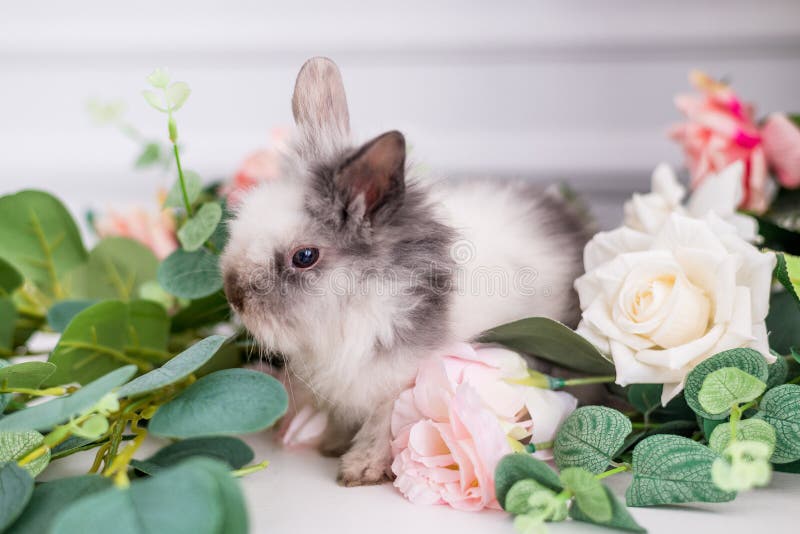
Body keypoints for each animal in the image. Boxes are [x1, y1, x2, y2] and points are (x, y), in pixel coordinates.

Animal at [221, 57, 589, 486]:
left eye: (305, 256)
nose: (234, 295)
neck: (363, 296)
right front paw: (332, 445)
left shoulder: (398, 385)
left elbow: (383, 429)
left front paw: (358, 470)